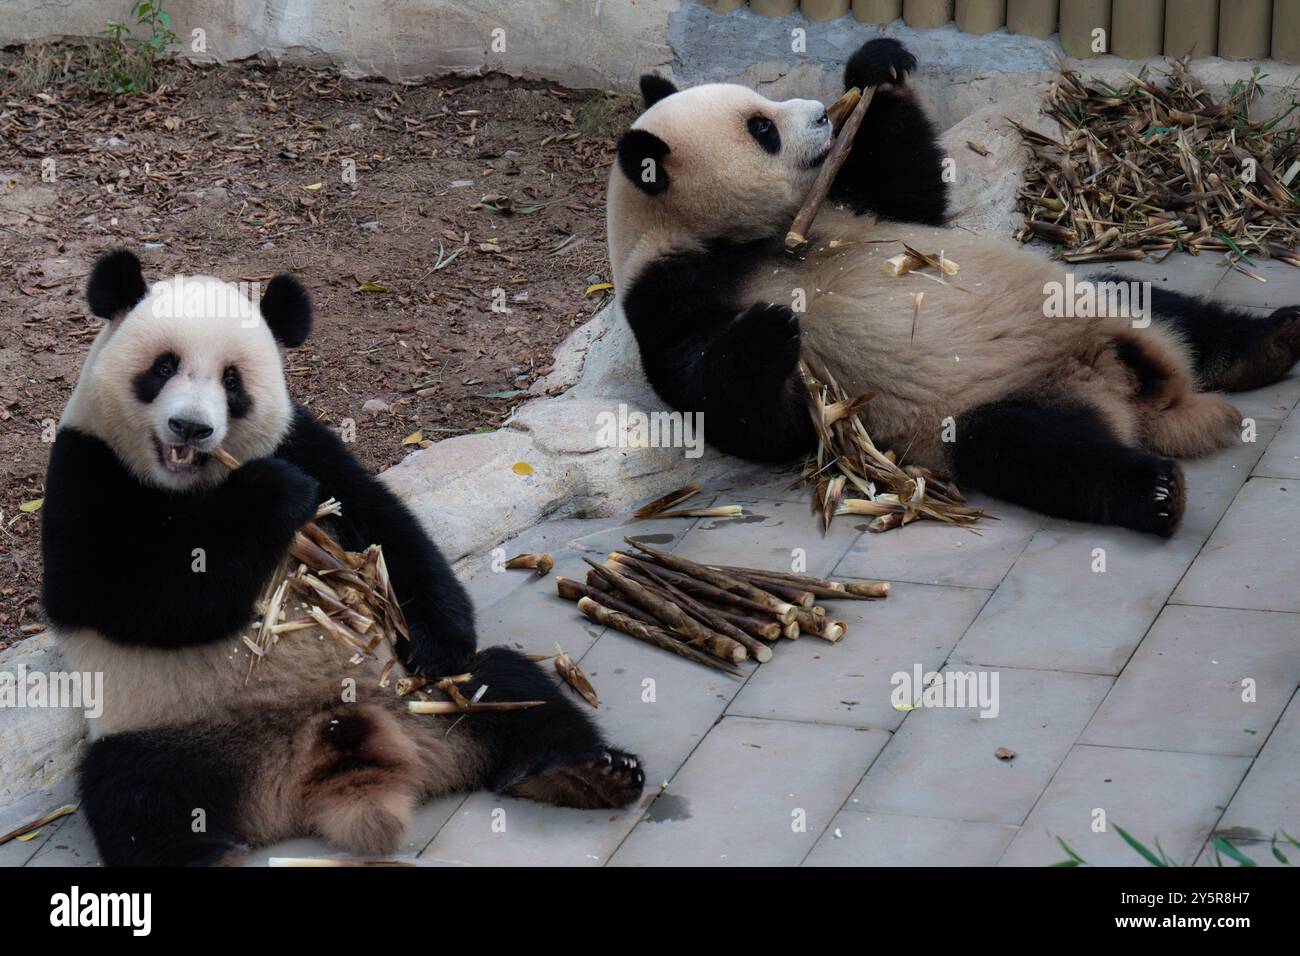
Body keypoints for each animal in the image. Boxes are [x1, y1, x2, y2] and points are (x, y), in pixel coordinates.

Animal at [41, 250, 644, 866]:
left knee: (508, 686)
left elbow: (388, 531)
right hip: (178, 734)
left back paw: (586, 774)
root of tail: (320, 764)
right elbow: (123, 594)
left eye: (232, 381)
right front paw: (270, 494)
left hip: (417, 697)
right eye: (163, 367)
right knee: (136, 792)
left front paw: (436, 642)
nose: (191, 426)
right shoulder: (87, 465)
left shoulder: (302, 439)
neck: (191, 484)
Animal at [610, 39, 1300, 537]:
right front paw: (770, 327)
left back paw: (1272, 342)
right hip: (996, 407)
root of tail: (1139, 392)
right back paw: (1156, 492)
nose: (820, 115)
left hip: (1087, 298)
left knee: (1156, 301)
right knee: (1036, 451)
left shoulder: (849, 205)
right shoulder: (669, 296)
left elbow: (915, 196)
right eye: (761, 128)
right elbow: (744, 414)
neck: (734, 238)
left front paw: (878, 67)